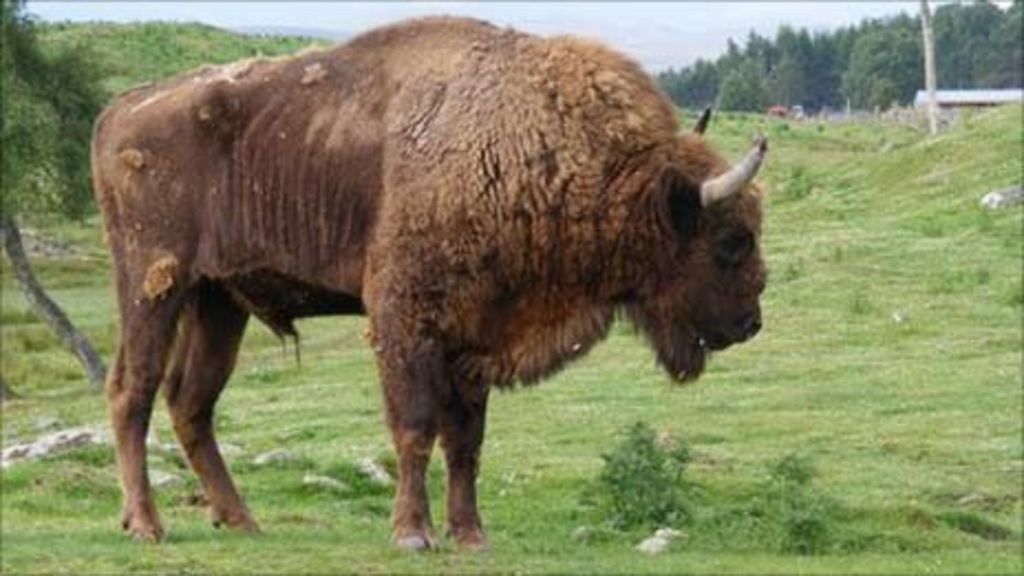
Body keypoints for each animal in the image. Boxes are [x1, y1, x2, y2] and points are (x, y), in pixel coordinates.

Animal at [91, 17, 768, 550]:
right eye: (730, 242)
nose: (750, 322)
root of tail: (119, 111)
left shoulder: (477, 337)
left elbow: (466, 441)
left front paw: (470, 535)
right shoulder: (405, 320)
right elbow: (415, 427)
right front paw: (413, 534)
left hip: (218, 300)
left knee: (191, 402)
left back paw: (242, 521)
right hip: (154, 283)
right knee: (132, 389)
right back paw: (146, 524)